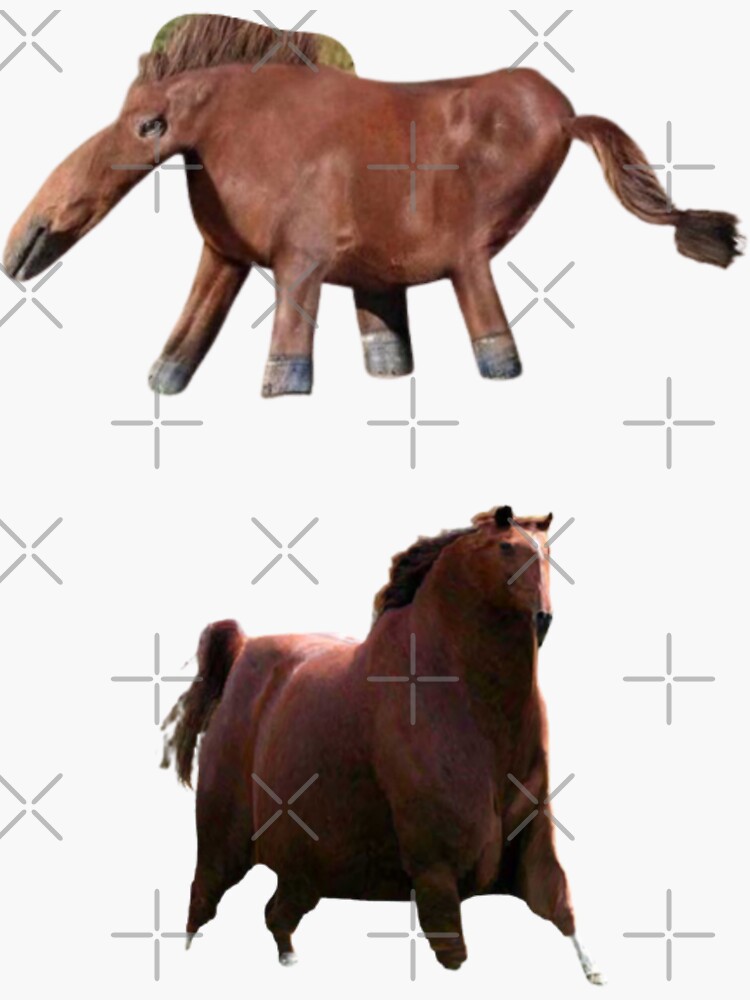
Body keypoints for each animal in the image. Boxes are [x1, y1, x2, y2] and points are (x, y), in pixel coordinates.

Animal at [4, 17, 740, 398]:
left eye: (150, 126)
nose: (24, 247)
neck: (235, 132)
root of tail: (566, 114)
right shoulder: (228, 254)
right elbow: (185, 338)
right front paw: (163, 383)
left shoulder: (299, 260)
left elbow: (287, 360)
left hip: (469, 253)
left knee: (490, 328)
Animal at [160, 505, 604, 984]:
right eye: (507, 547)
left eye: (546, 551)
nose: (543, 619)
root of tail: (243, 650)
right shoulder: (436, 875)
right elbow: (456, 955)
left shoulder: (532, 852)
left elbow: (561, 908)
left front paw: (595, 974)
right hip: (223, 845)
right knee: (199, 905)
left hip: (306, 869)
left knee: (276, 914)